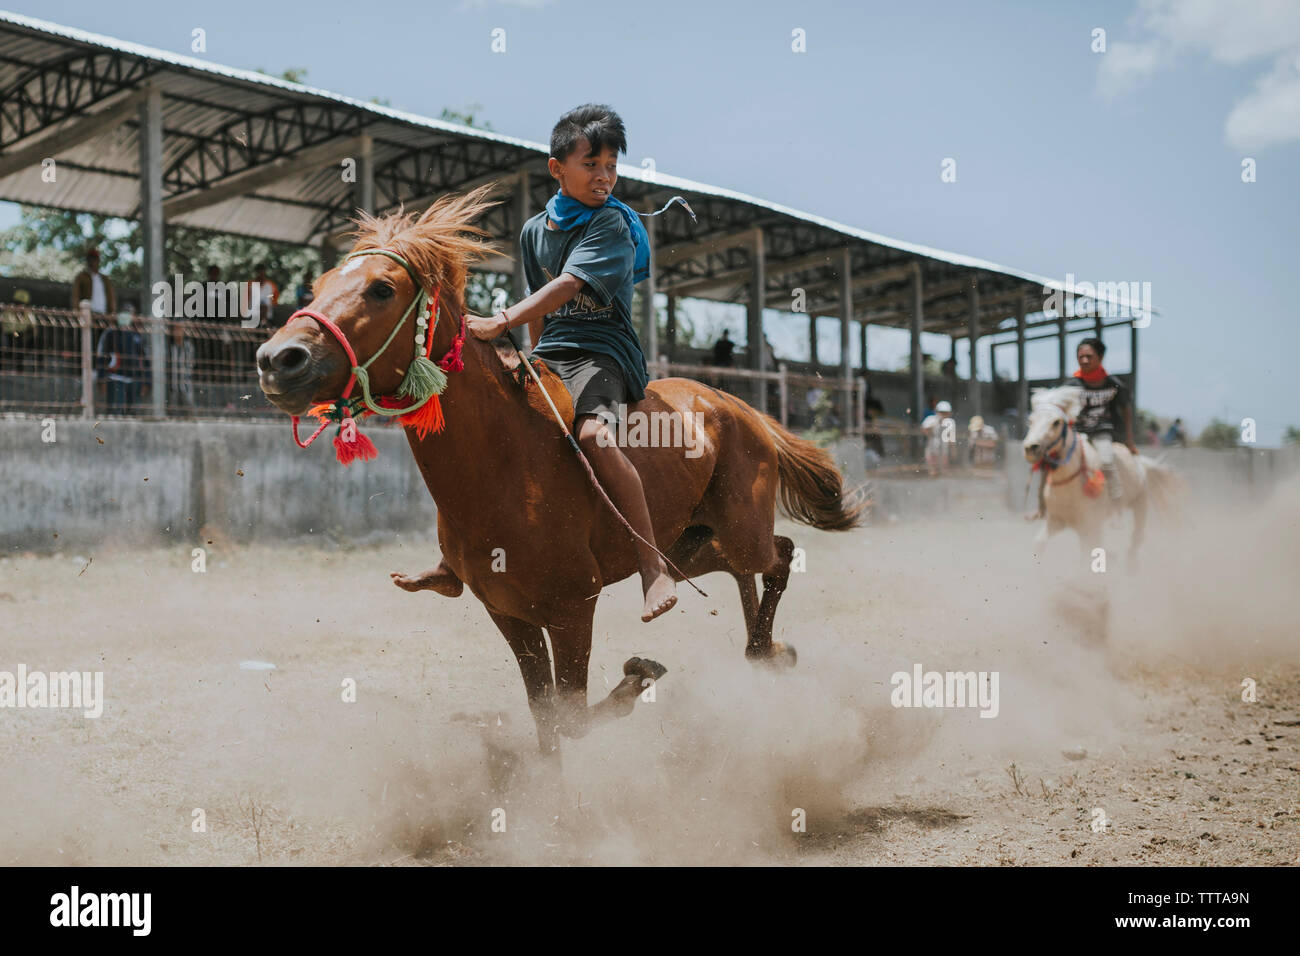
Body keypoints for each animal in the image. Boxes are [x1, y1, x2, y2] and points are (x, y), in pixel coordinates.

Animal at [255, 185, 867, 756]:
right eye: (317, 286)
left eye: (382, 288)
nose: (277, 360)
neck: (505, 463)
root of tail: (740, 408)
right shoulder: (509, 612)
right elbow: (545, 717)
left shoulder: (574, 608)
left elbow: (570, 716)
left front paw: (638, 678)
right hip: (690, 542)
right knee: (748, 567)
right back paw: (763, 649)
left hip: (739, 530)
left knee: (778, 556)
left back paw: (762, 647)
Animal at [1022, 385, 1184, 568]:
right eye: (1030, 421)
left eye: (1056, 422)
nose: (1031, 448)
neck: (1070, 484)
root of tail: (1139, 461)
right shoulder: (1057, 521)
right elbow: (1039, 544)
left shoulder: (1091, 525)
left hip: (1140, 503)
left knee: (1137, 537)